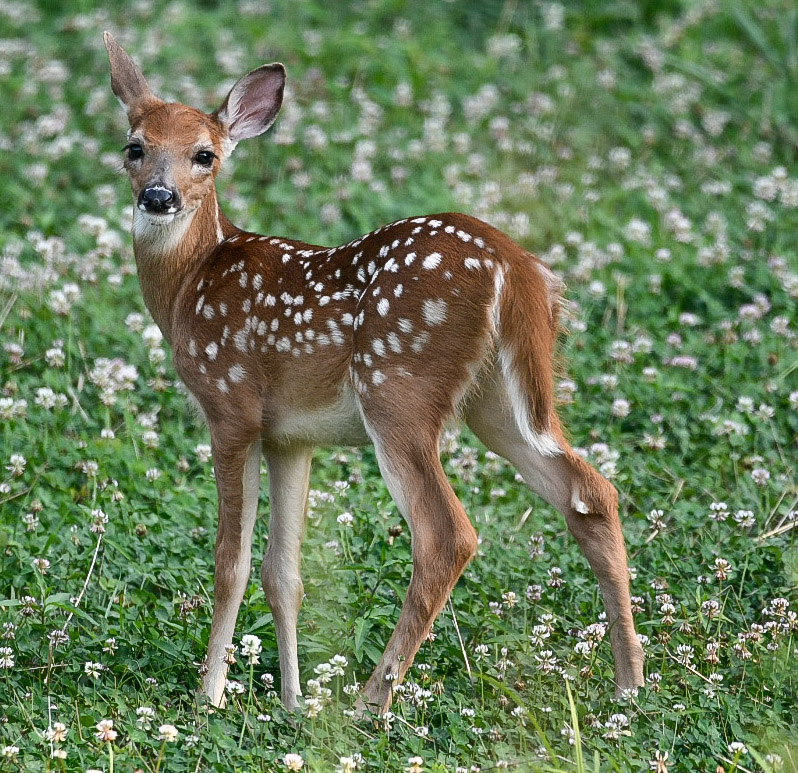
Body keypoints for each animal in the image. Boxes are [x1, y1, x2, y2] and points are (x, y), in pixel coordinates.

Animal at [103, 32, 644, 715]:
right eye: (135, 147)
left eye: (205, 155)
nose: (158, 197)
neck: (189, 285)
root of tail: (515, 268)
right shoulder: (290, 437)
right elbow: (283, 572)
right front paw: (292, 700)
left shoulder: (230, 406)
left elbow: (231, 561)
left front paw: (210, 696)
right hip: (499, 400)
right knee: (592, 491)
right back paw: (629, 682)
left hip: (399, 387)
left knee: (447, 534)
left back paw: (371, 700)